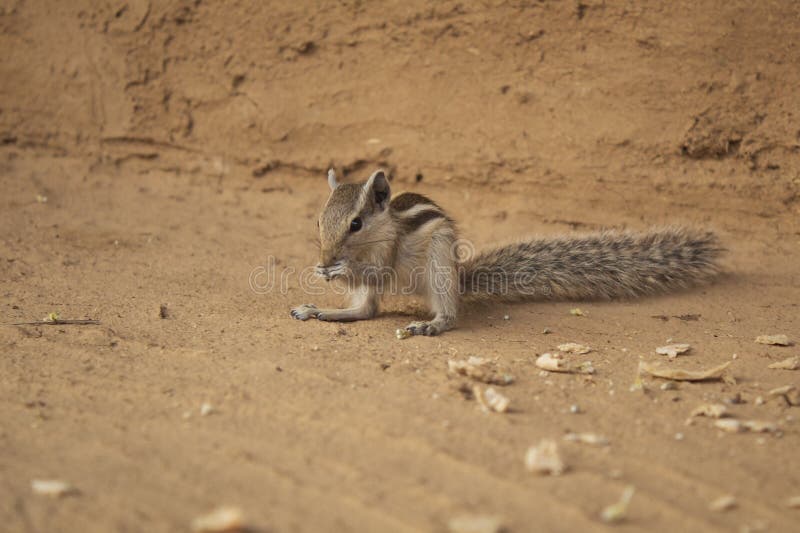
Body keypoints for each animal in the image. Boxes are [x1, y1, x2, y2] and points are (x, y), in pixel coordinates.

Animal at [291, 169, 723, 337]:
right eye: (318, 222)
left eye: (356, 224)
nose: (326, 258)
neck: (383, 228)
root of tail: (460, 280)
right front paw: (321, 271)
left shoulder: (387, 253)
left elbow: (376, 272)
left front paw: (340, 267)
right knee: (365, 310)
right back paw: (320, 311)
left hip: (440, 268)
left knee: (445, 314)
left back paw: (432, 325)